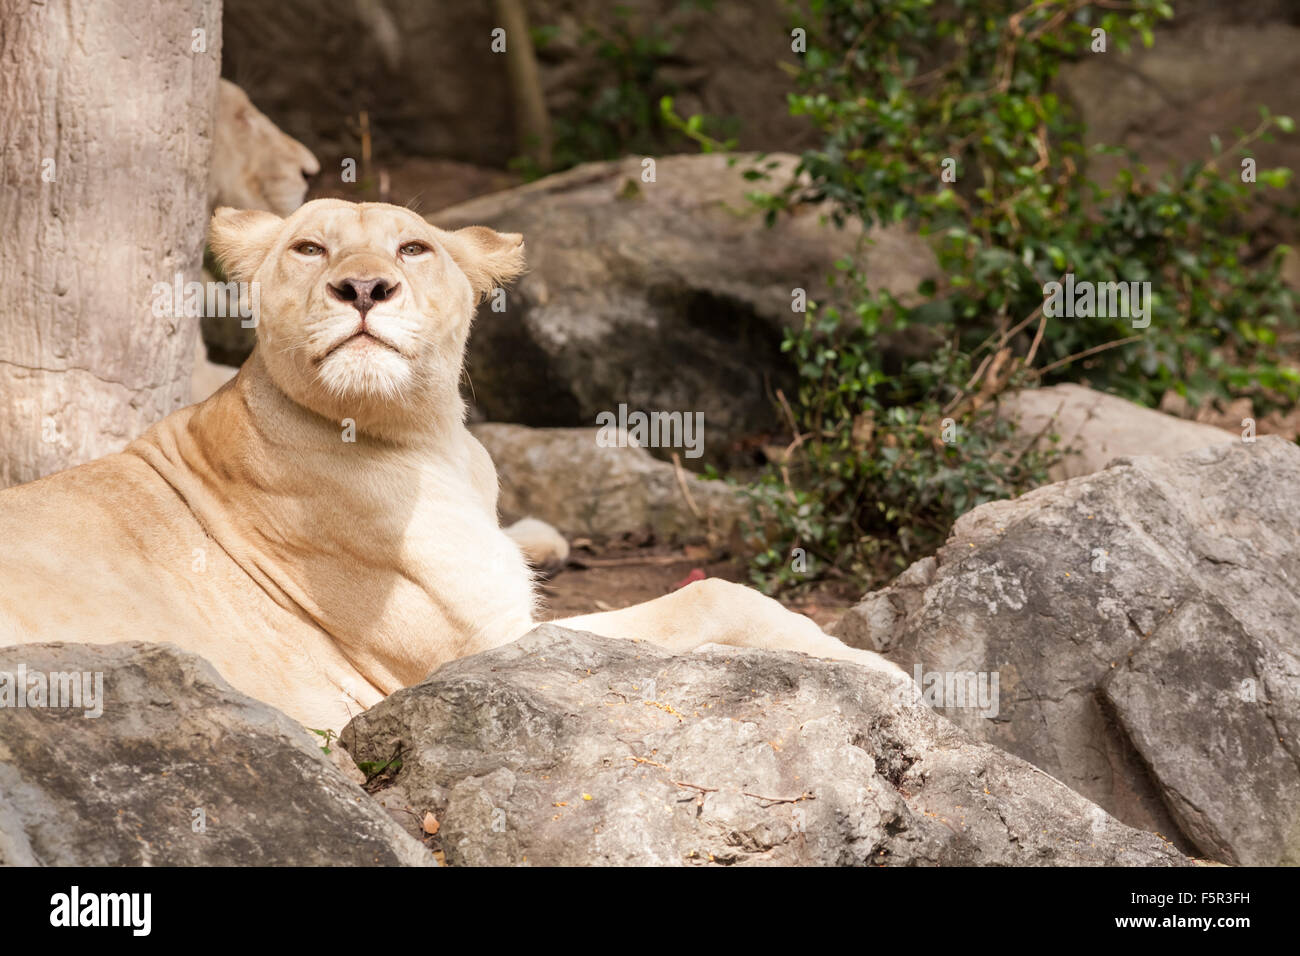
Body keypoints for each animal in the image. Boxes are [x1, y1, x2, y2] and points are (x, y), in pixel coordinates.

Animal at [0, 200, 902, 730]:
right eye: (310, 248)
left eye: (412, 248)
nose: (364, 287)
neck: (430, 435)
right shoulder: (480, 654)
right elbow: (714, 594)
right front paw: (873, 667)